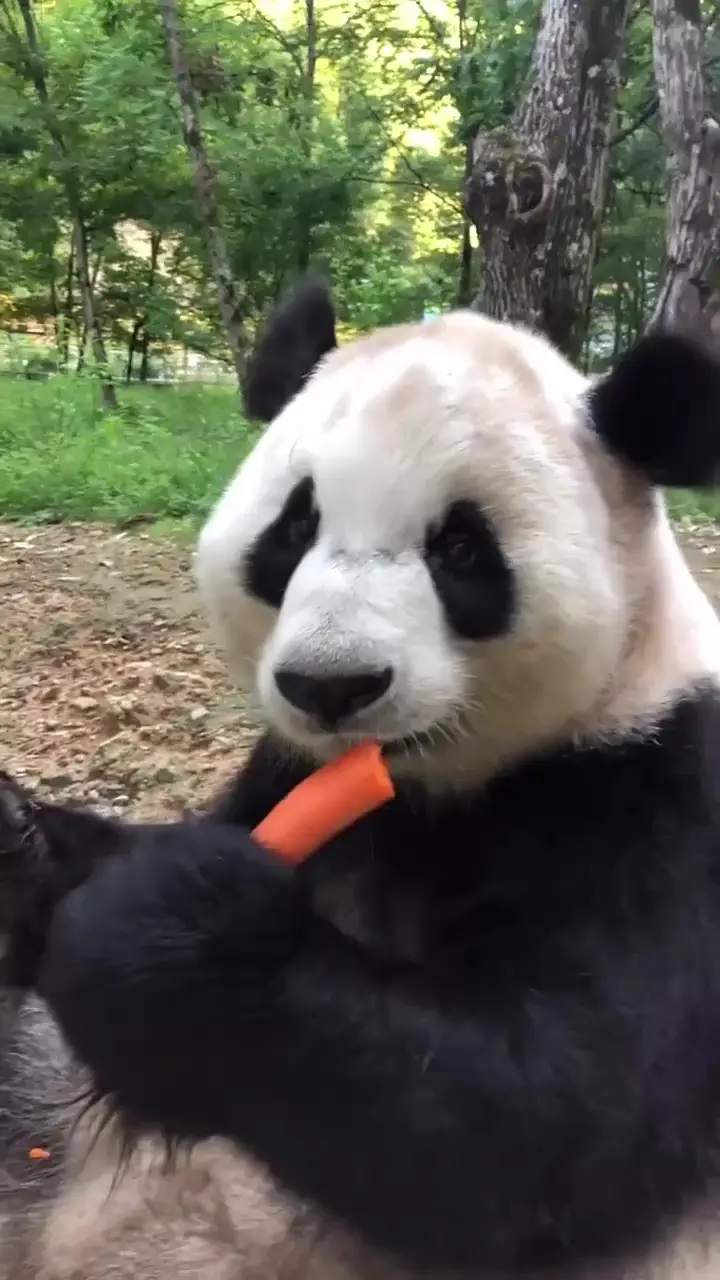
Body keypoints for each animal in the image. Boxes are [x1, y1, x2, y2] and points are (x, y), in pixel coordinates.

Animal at [2, 276, 720, 1280]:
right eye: (295, 526)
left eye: (460, 550)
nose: (329, 685)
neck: (427, 789)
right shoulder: (284, 768)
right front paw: (25, 850)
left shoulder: (657, 790)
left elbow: (547, 1114)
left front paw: (158, 927)